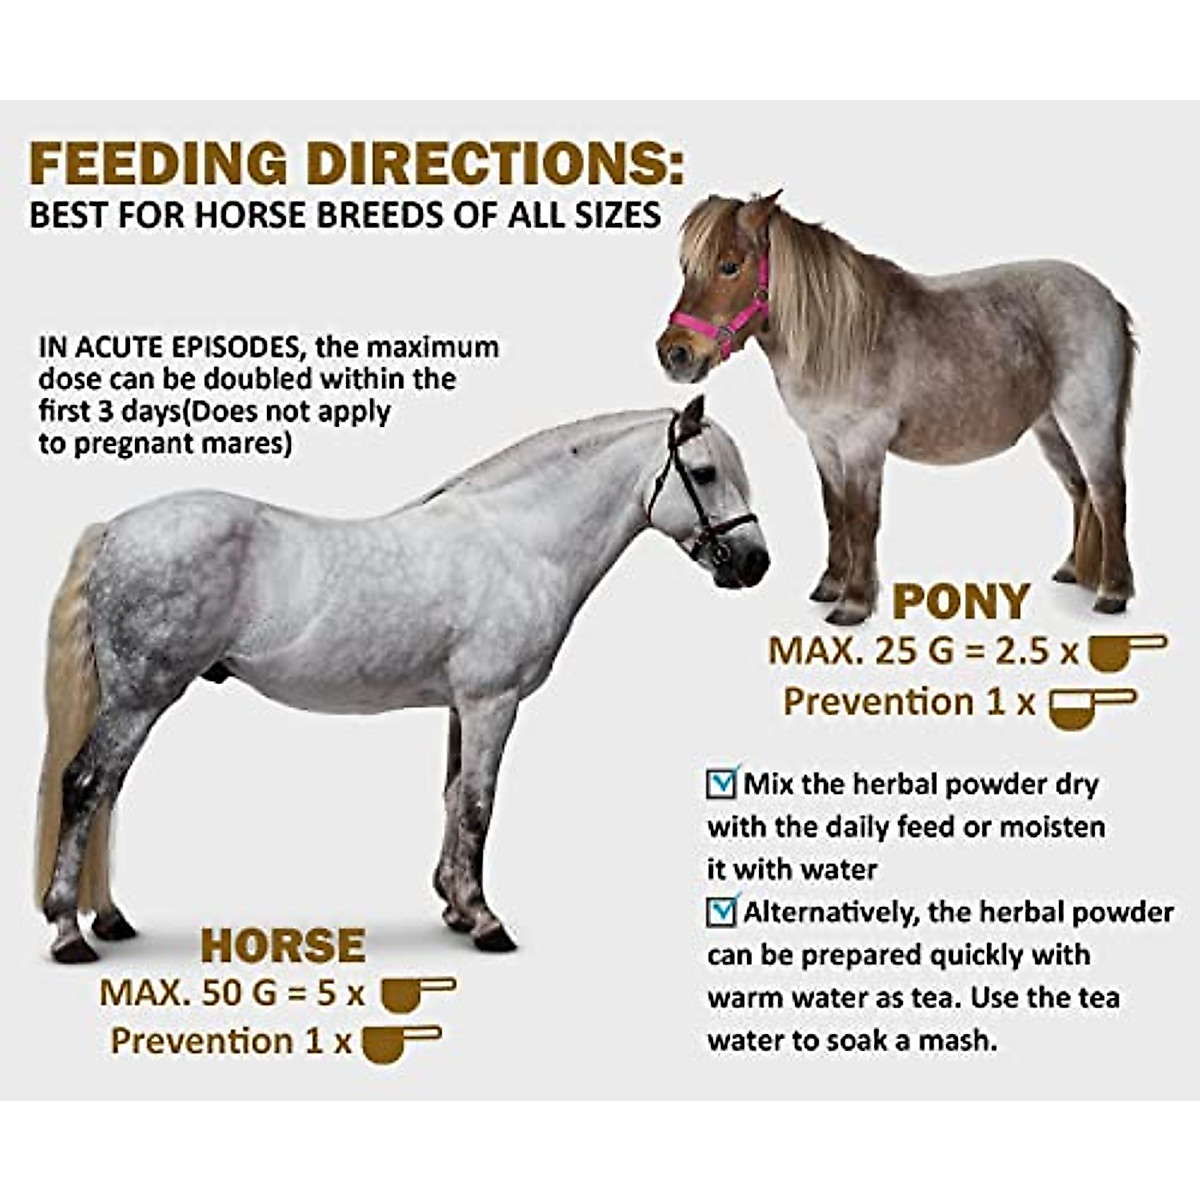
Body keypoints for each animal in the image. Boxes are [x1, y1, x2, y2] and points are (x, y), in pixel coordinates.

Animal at [36, 397, 769, 964]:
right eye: (703, 472)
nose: (754, 563)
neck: (519, 542)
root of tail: (117, 529)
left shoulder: (461, 706)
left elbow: (452, 798)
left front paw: (453, 907)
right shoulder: (492, 702)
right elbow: (478, 806)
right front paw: (485, 921)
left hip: (132, 699)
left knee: (108, 792)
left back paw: (110, 920)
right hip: (140, 696)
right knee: (86, 785)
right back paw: (71, 932)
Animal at [656, 192, 1136, 626]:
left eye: (729, 265)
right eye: (687, 269)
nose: (675, 354)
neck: (840, 338)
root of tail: (1107, 299)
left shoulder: (863, 444)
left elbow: (862, 518)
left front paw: (853, 603)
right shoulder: (822, 443)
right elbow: (835, 512)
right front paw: (830, 584)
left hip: (1088, 421)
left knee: (1108, 494)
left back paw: (1112, 592)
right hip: (1050, 426)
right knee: (1079, 490)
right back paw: (1072, 570)